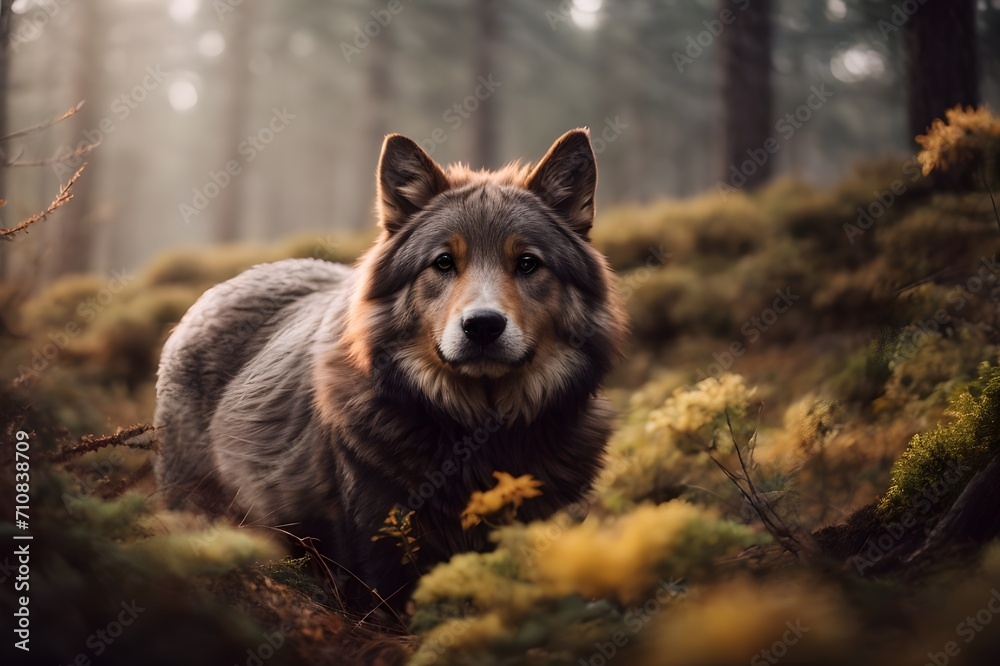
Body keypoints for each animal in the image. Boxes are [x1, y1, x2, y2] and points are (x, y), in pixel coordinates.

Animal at [154, 128, 627, 610]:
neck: (479, 435)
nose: (482, 325)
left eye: (528, 263)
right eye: (443, 262)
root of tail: (223, 286)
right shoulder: (378, 567)